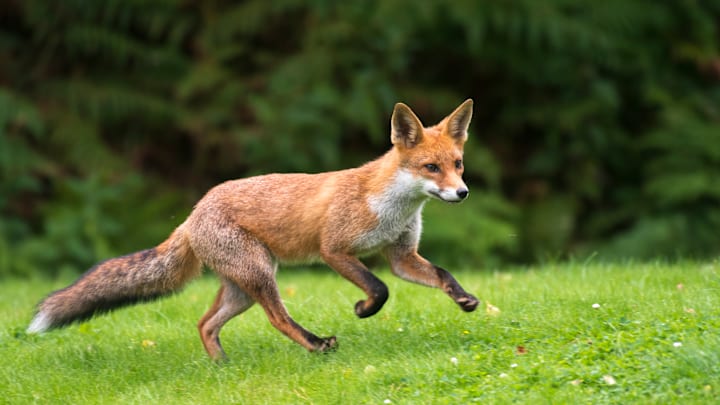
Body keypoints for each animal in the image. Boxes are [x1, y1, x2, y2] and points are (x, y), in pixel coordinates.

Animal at [27, 99, 480, 361]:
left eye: (457, 164)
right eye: (430, 168)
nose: (462, 193)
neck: (391, 206)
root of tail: (193, 214)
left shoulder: (402, 256)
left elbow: (441, 274)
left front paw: (464, 298)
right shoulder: (334, 250)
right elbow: (380, 288)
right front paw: (363, 309)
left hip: (241, 288)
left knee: (205, 324)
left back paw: (221, 368)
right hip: (261, 276)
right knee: (277, 319)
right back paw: (315, 345)